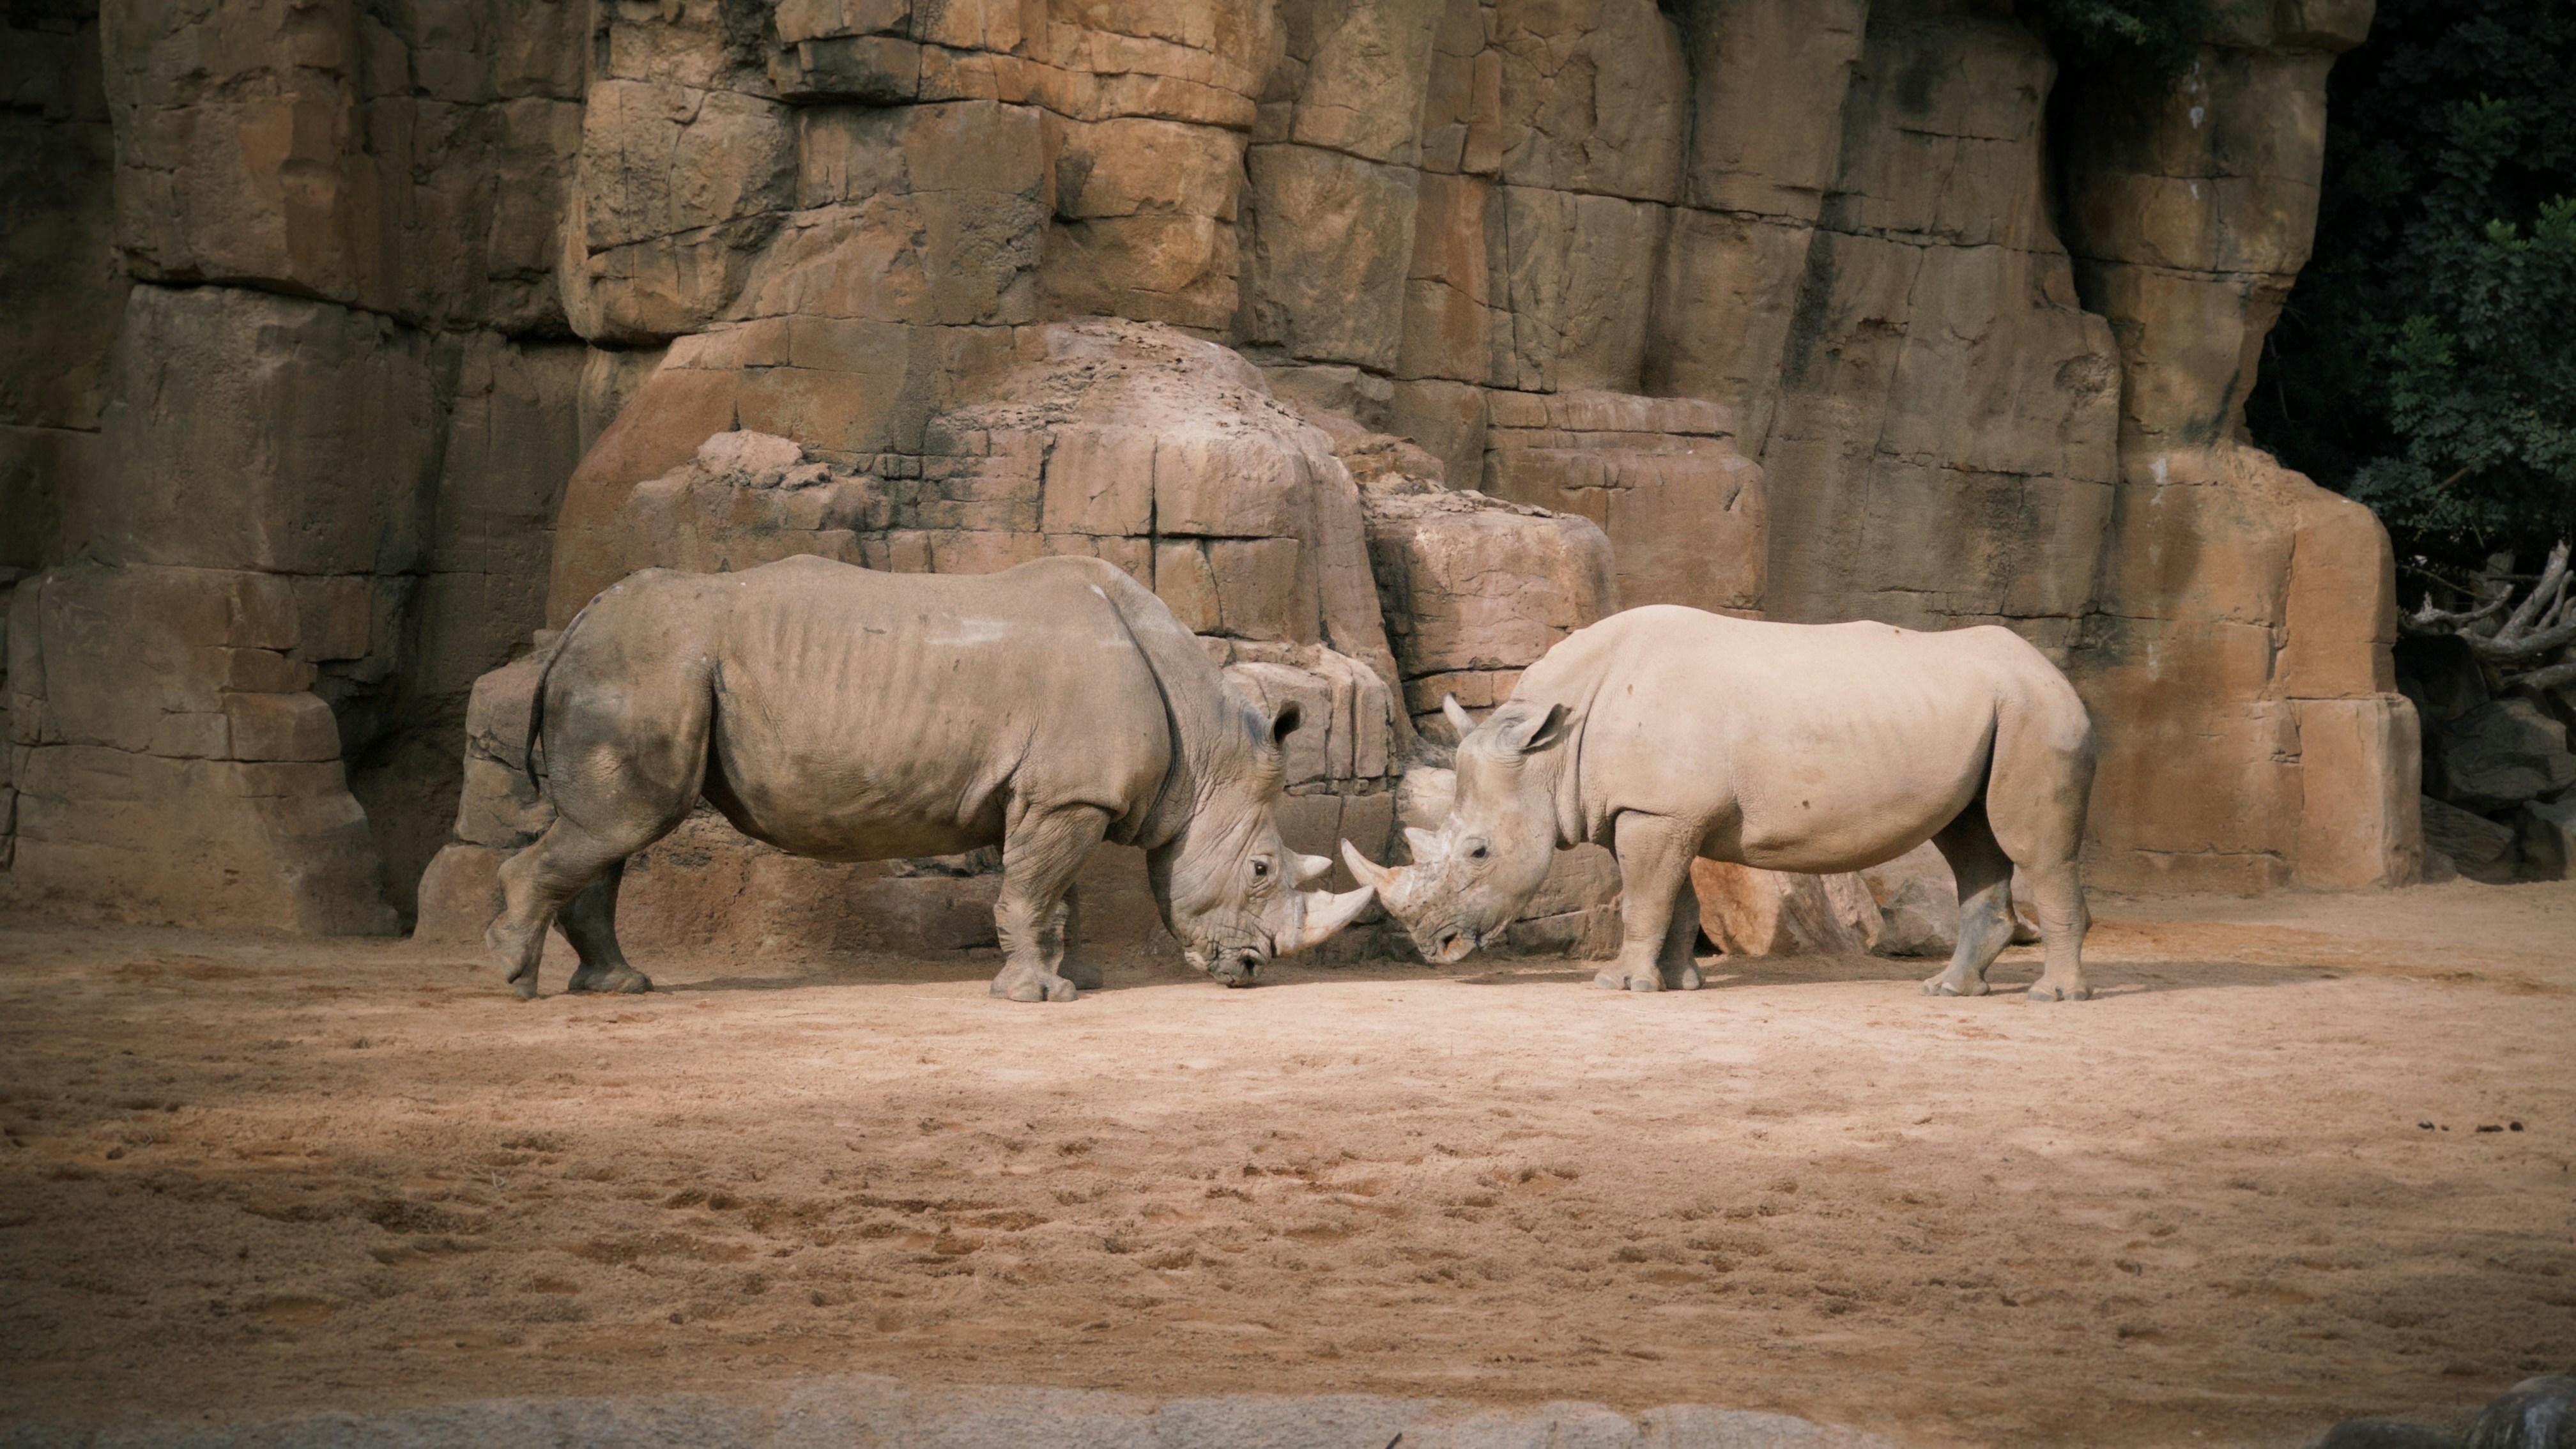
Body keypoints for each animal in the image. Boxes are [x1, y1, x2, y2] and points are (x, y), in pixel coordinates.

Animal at [486, 554, 1375, 1002]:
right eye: (1260, 871)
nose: (1252, 970)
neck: (1207, 750)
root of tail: (573, 627)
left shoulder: (1057, 792)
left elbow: (1056, 890)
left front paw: (1072, 979)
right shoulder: (1068, 795)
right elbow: (1035, 888)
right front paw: (1037, 997)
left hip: (643, 668)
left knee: (616, 828)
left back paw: (618, 986)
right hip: (645, 668)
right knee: (624, 822)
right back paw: (516, 982)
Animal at [1343, 606, 2099, 1001]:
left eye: (1478, 851)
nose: (1432, 949)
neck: (1549, 751)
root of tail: (2055, 671)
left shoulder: (1656, 814)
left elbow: (1644, 899)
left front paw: (1617, 986)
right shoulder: (1661, 813)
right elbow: (1673, 901)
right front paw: (1680, 984)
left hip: (2038, 712)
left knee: (2032, 846)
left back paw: (2053, 997)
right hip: (1997, 712)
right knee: (1971, 839)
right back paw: (1948, 991)